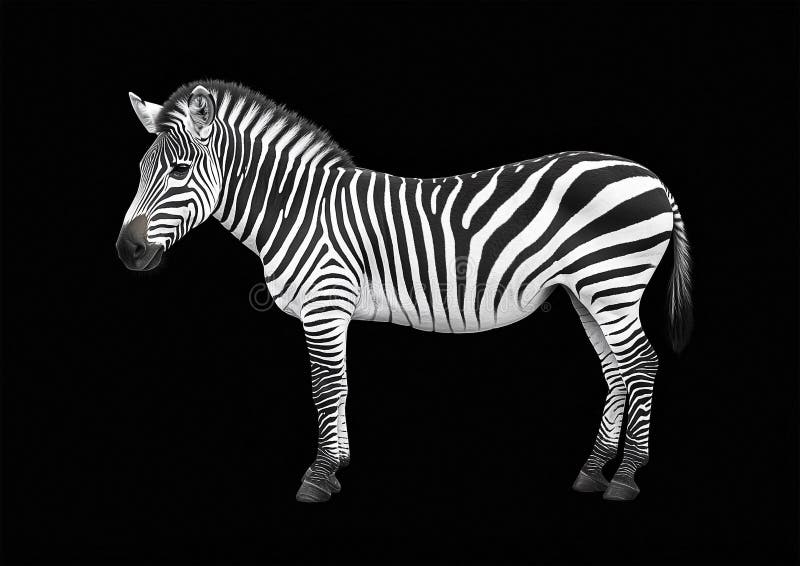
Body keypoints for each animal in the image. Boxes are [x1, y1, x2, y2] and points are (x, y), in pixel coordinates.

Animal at [117, 80, 692, 503]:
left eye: (179, 171)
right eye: (141, 170)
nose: (126, 251)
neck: (297, 209)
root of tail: (651, 177)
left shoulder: (325, 302)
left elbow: (326, 388)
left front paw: (318, 478)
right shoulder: (332, 310)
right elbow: (340, 386)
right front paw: (338, 464)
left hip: (611, 281)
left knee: (641, 364)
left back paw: (625, 479)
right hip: (586, 292)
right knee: (616, 372)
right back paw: (592, 472)